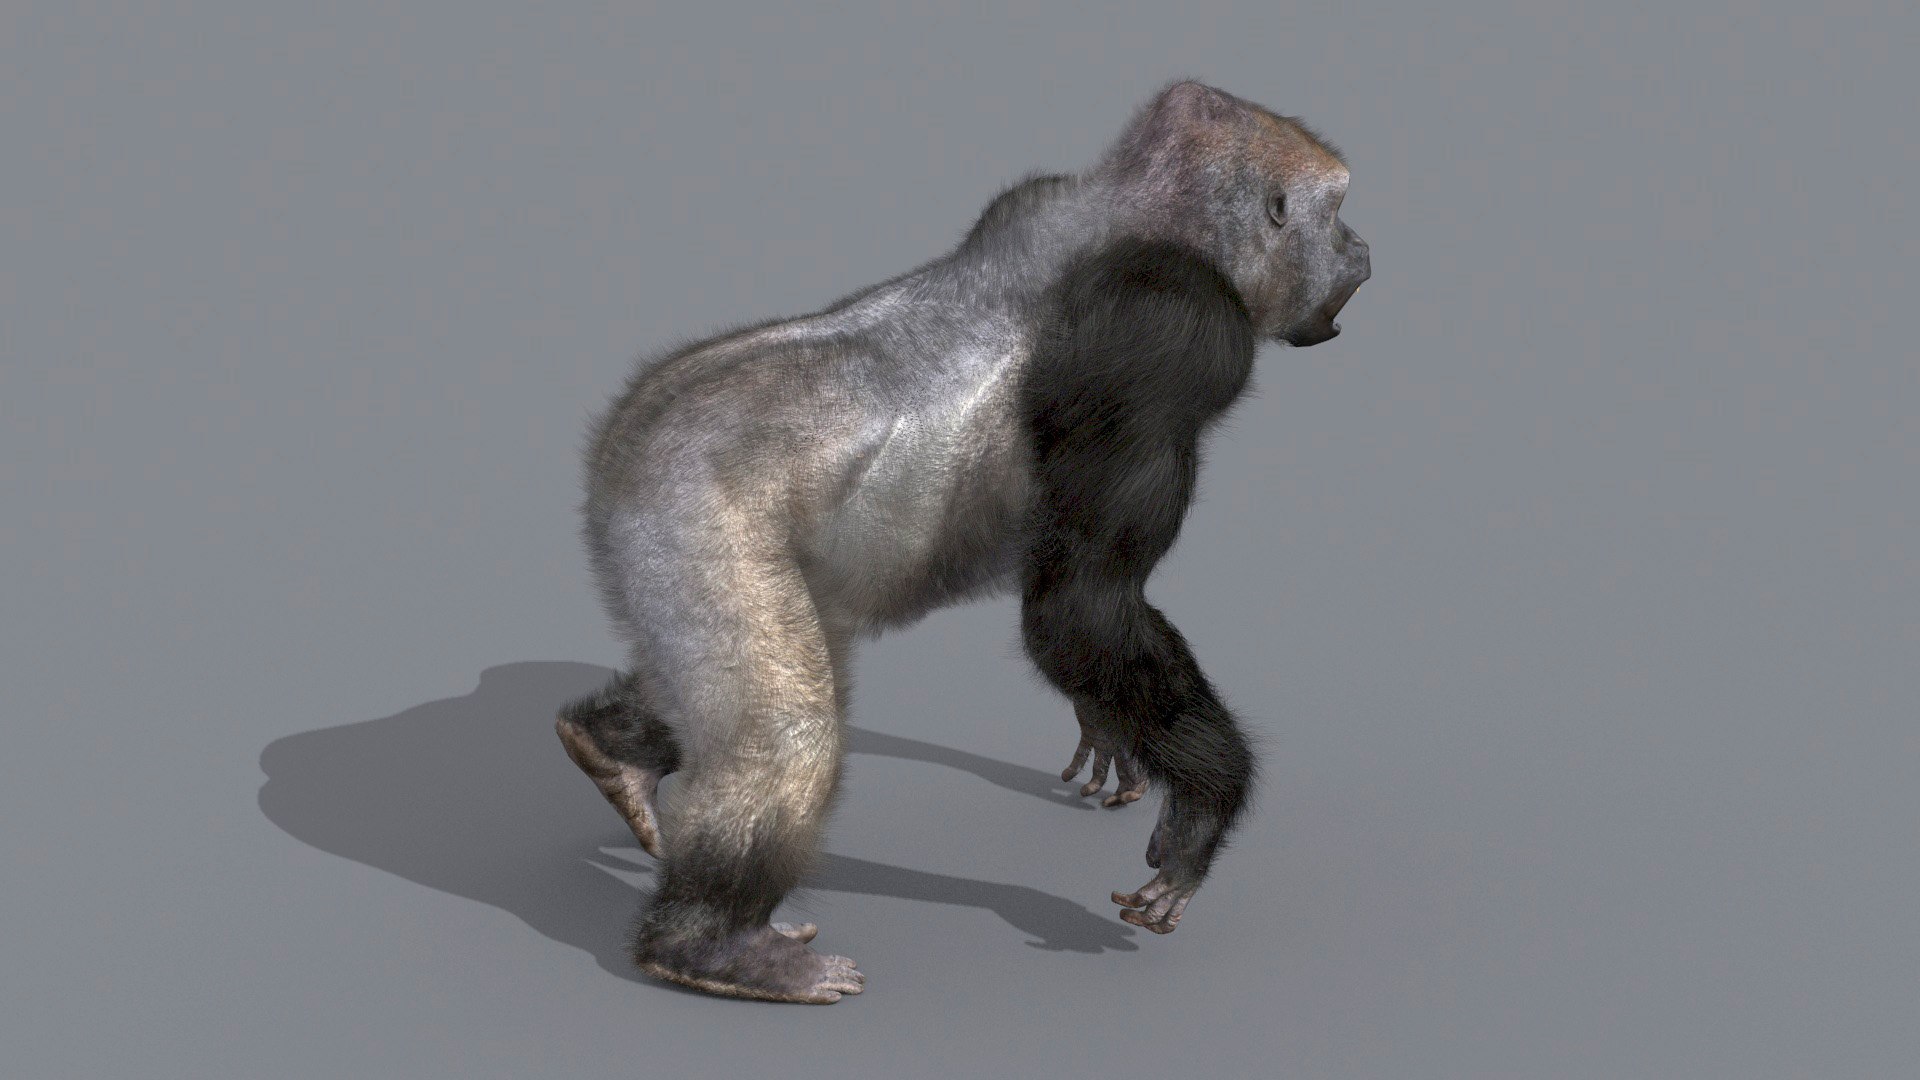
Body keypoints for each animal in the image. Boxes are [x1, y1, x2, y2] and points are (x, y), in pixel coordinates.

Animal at [554, 78, 1370, 1004]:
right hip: (675, 502)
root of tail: (625, 429)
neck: (1142, 206)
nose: (1361, 249)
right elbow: (1081, 601)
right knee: (786, 728)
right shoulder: (1173, 328)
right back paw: (711, 948)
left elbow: (1081, 619)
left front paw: (1109, 727)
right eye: (1336, 215)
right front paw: (1205, 805)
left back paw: (608, 749)